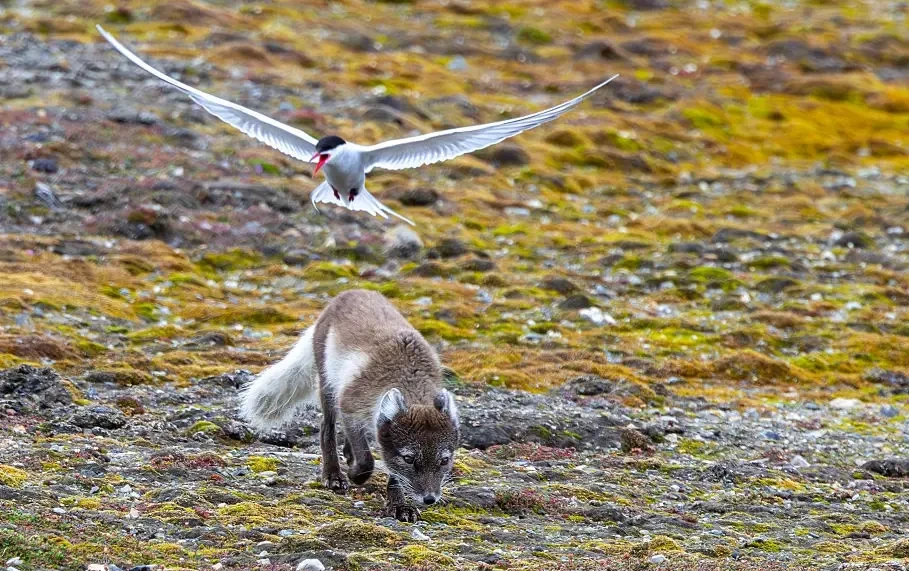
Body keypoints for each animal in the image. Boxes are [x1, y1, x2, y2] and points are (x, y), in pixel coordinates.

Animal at [239, 289, 459, 522]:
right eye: (408, 458)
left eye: (444, 460)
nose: (430, 499)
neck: (409, 377)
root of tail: (350, 292)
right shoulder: (350, 407)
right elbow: (367, 460)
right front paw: (355, 475)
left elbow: (393, 473)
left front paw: (399, 506)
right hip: (328, 384)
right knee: (326, 428)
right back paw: (333, 475)